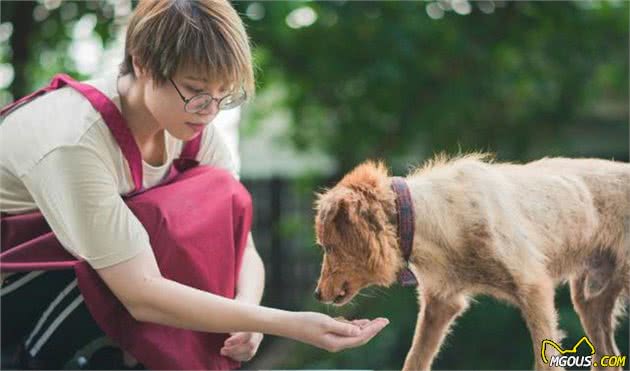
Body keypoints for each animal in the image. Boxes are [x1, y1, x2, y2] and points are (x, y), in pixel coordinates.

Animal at [314, 155, 630, 371]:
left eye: (329, 247)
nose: (316, 294)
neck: (426, 217)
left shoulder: (533, 288)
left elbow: (546, 359)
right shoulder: (441, 303)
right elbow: (415, 359)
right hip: (590, 301)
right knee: (608, 357)